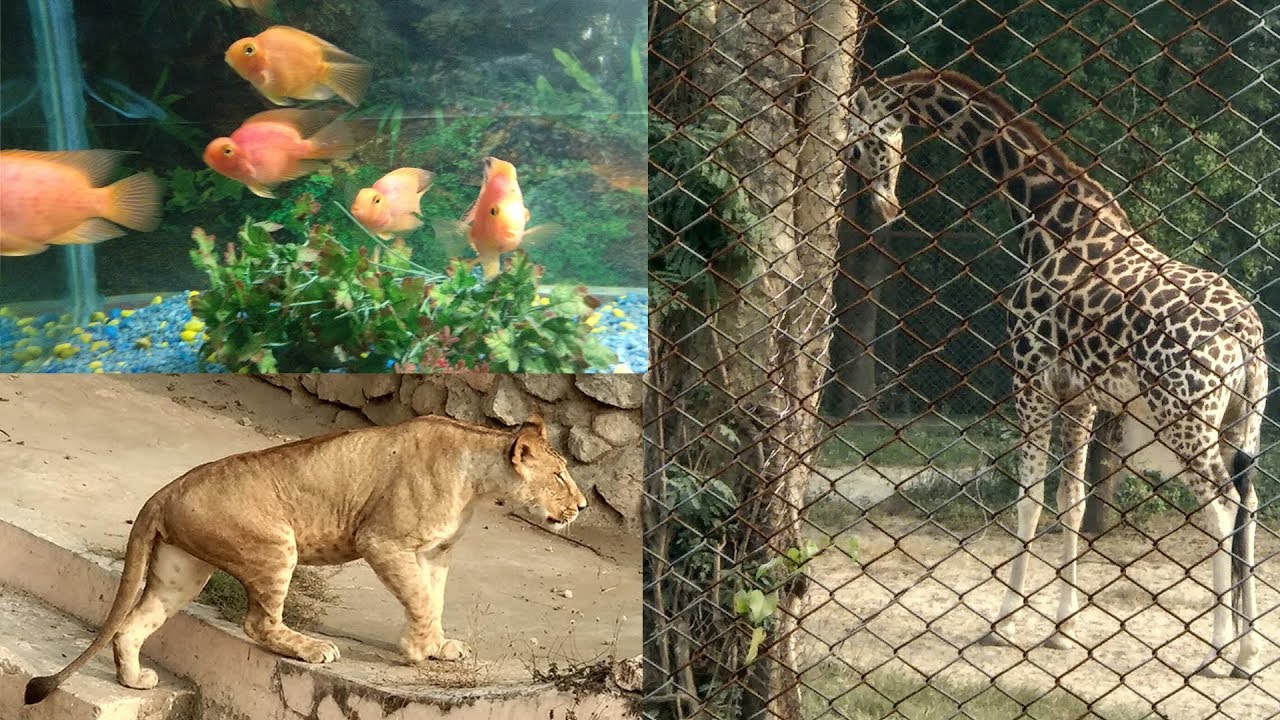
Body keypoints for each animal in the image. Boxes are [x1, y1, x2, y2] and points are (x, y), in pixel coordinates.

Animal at [24, 413, 586, 704]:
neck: (477, 479)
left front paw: (437, 647)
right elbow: (421, 599)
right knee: (258, 623)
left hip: (180, 571)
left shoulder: (434, 553)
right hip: (276, 546)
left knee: (132, 625)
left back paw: (133, 679)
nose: (581, 506)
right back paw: (313, 648)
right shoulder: (383, 541)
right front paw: (419, 651)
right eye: (560, 476)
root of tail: (164, 491)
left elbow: (432, 599)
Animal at [843, 69, 1265, 678]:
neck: (1045, 216)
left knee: (1222, 507)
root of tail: (1247, 338)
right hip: (1240, 420)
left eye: (859, 145)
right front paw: (1062, 630)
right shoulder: (1080, 395)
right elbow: (1071, 499)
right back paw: (1248, 651)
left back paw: (1217, 648)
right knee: (1249, 505)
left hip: (1184, 418)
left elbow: (1029, 499)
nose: (885, 208)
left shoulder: (1030, 376)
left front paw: (1003, 623)